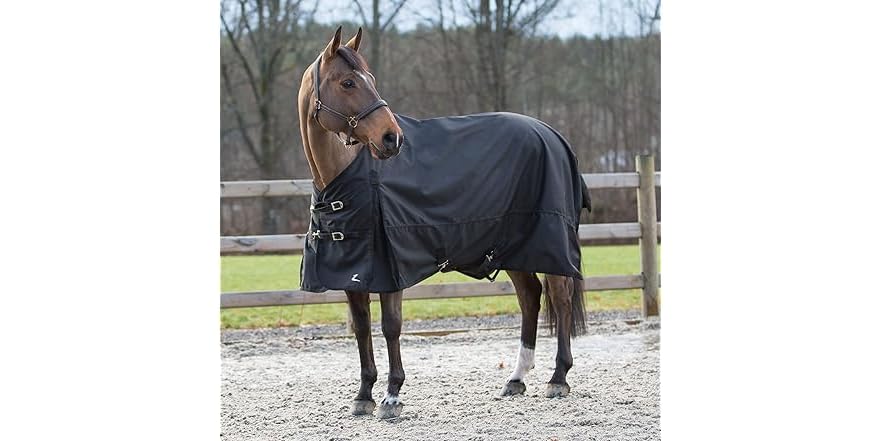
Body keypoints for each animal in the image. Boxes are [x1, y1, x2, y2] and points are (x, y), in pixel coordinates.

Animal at [297, 26, 591, 419]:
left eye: (370, 79)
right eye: (347, 82)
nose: (392, 138)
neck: (348, 175)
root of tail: (552, 134)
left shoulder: (391, 270)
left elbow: (391, 327)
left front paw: (392, 396)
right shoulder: (353, 274)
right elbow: (361, 328)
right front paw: (364, 395)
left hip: (549, 244)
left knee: (559, 297)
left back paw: (558, 378)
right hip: (515, 249)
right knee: (530, 298)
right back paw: (515, 379)